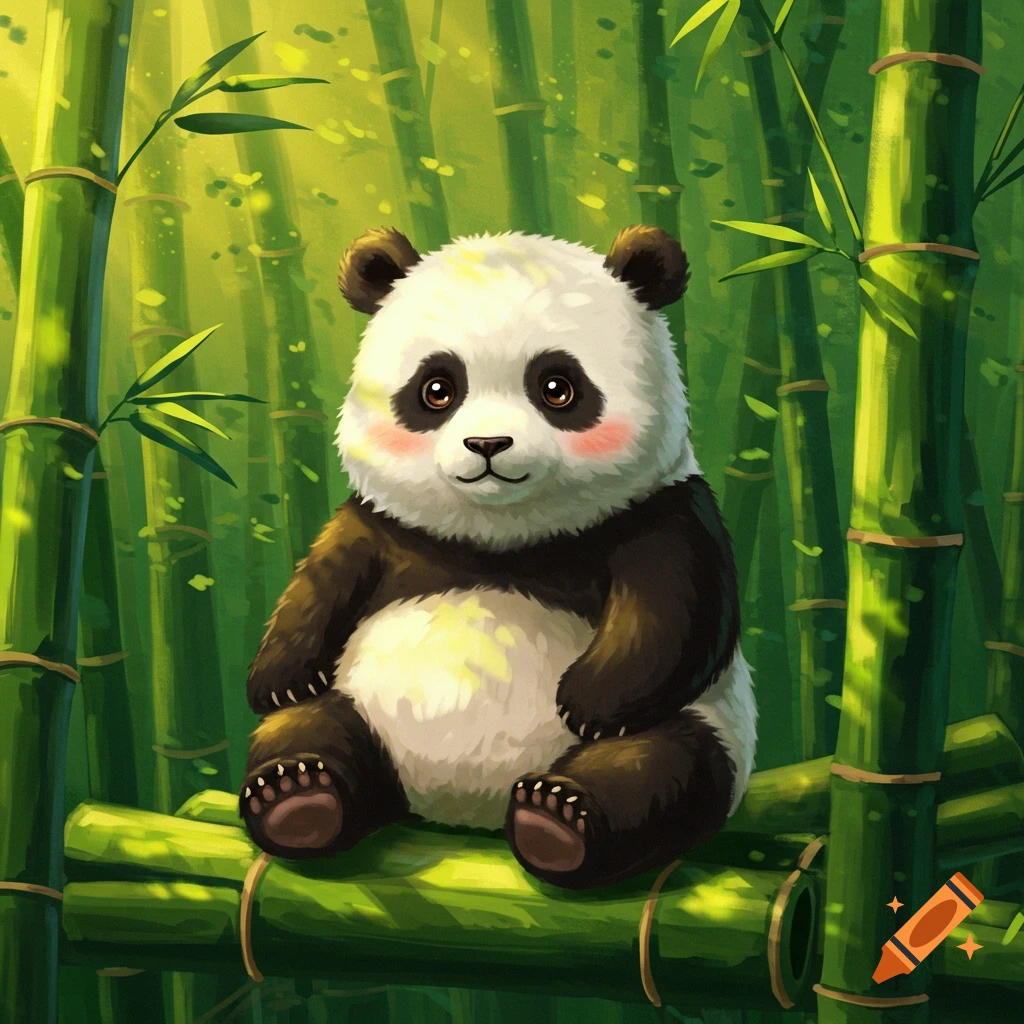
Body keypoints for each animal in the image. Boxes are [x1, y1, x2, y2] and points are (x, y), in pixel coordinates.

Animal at [240, 225, 757, 890]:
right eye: (437, 389)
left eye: (557, 387)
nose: (488, 444)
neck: (498, 539)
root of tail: (460, 804)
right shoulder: (382, 522)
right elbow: (322, 577)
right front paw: (278, 676)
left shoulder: (660, 511)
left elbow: (675, 607)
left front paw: (592, 700)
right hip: (358, 704)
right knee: (308, 728)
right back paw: (298, 796)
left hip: (706, 730)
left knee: (662, 766)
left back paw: (558, 820)